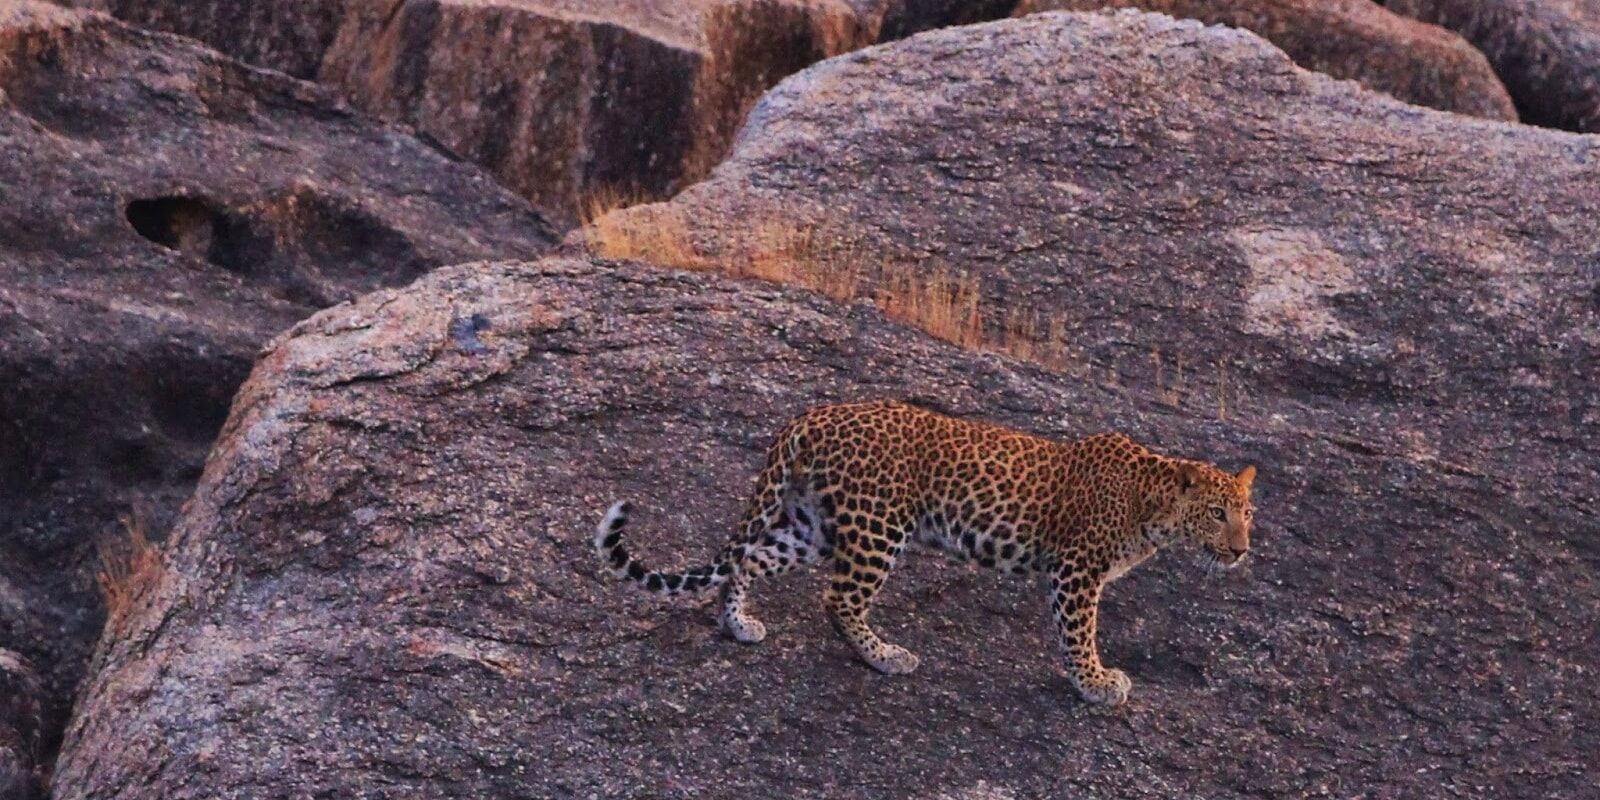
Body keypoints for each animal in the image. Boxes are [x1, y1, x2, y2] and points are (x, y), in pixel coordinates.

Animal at [593, 400, 1257, 706]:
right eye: (1217, 514)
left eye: (1247, 515)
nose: (1242, 550)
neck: (1154, 507)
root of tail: (813, 414)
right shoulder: (1076, 570)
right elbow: (1079, 634)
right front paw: (1096, 684)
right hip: (877, 527)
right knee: (837, 598)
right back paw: (886, 656)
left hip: (813, 526)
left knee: (750, 559)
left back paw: (739, 625)